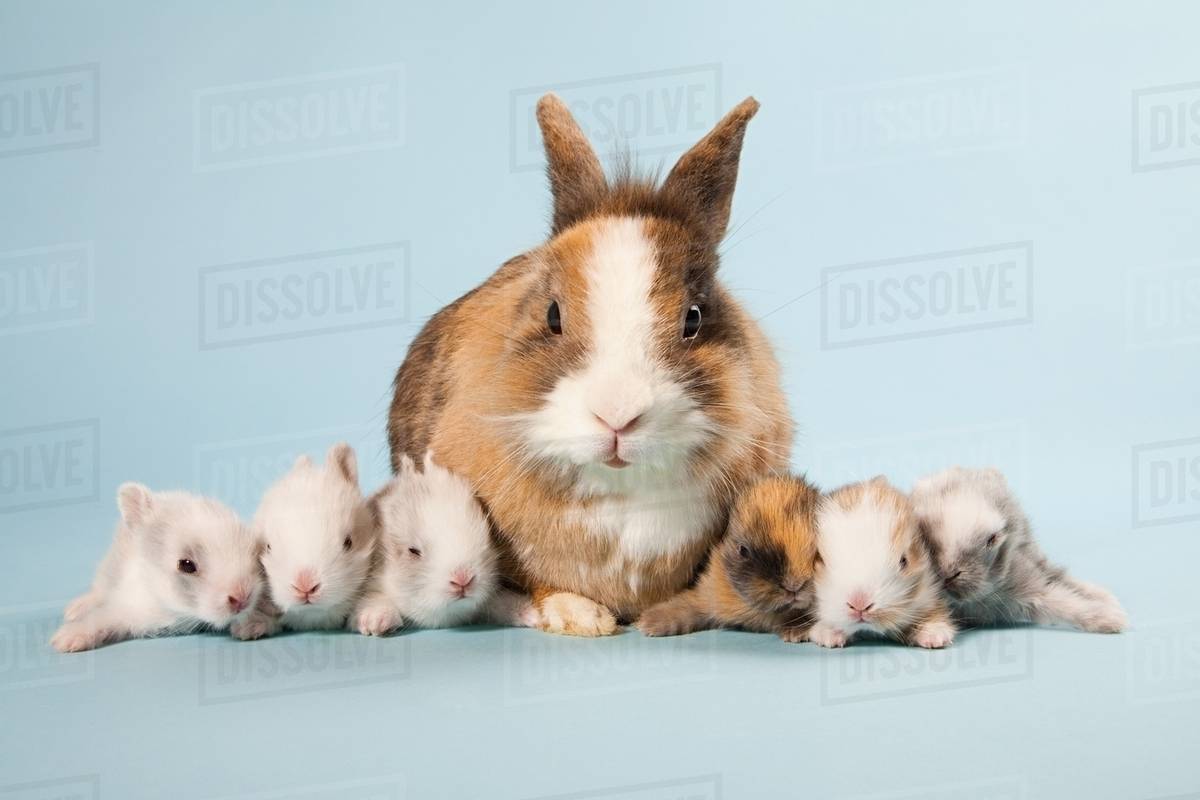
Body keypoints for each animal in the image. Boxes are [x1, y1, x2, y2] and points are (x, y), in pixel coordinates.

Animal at [51, 484, 263, 652]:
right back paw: (75, 609)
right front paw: (65, 640)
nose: (243, 597)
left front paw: (250, 627)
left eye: (252, 548)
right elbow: (101, 618)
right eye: (186, 565)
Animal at [354, 451, 538, 634]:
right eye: (413, 551)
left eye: (487, 536)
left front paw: (531, 615)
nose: (463, 579)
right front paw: (377, 622)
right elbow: (374, 598)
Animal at [910, 466, 1127, 633]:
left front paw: (1113, 620)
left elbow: (1068, 605)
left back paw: (1106, 598)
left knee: (1059, 575)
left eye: (991, 540)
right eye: (926, 539)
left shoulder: (1033, 590)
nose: (948, 574)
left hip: (1033, 552)